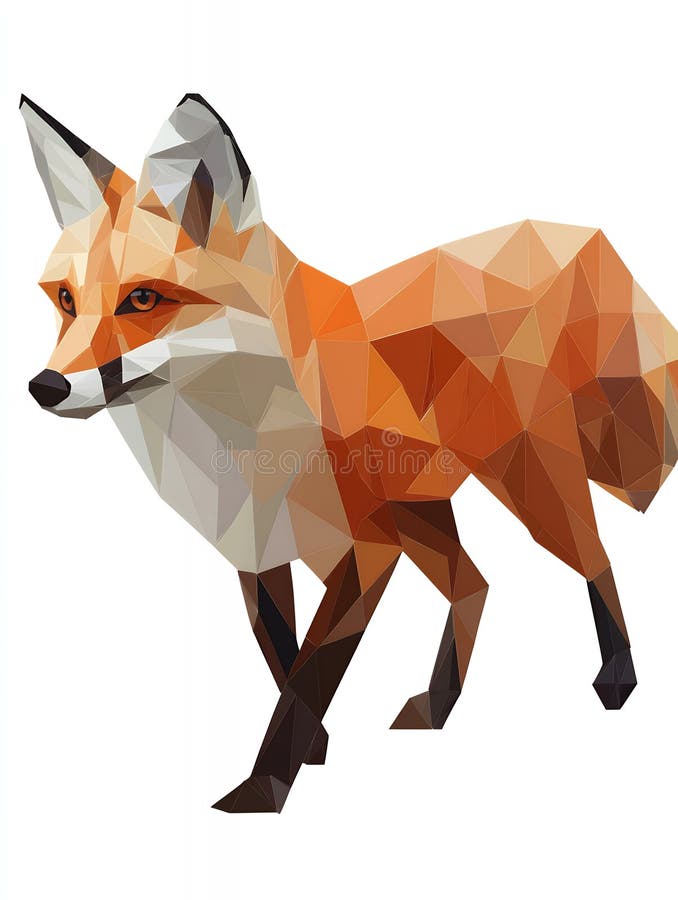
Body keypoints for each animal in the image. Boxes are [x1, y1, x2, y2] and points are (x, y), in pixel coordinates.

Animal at [21, 93, 678, 813]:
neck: (242, 442)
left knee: (597, 560)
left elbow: (307, 677)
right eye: (65, 300)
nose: (45, 387)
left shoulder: (365, 553)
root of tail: (563, 232)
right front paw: (316, 750)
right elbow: (283, 659)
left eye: (142, 299)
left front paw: (265, 789)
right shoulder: (258, 554)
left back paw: (617, 678)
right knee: (476, 583)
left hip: (528, 486)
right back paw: (438, 706)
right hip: (423, 514)